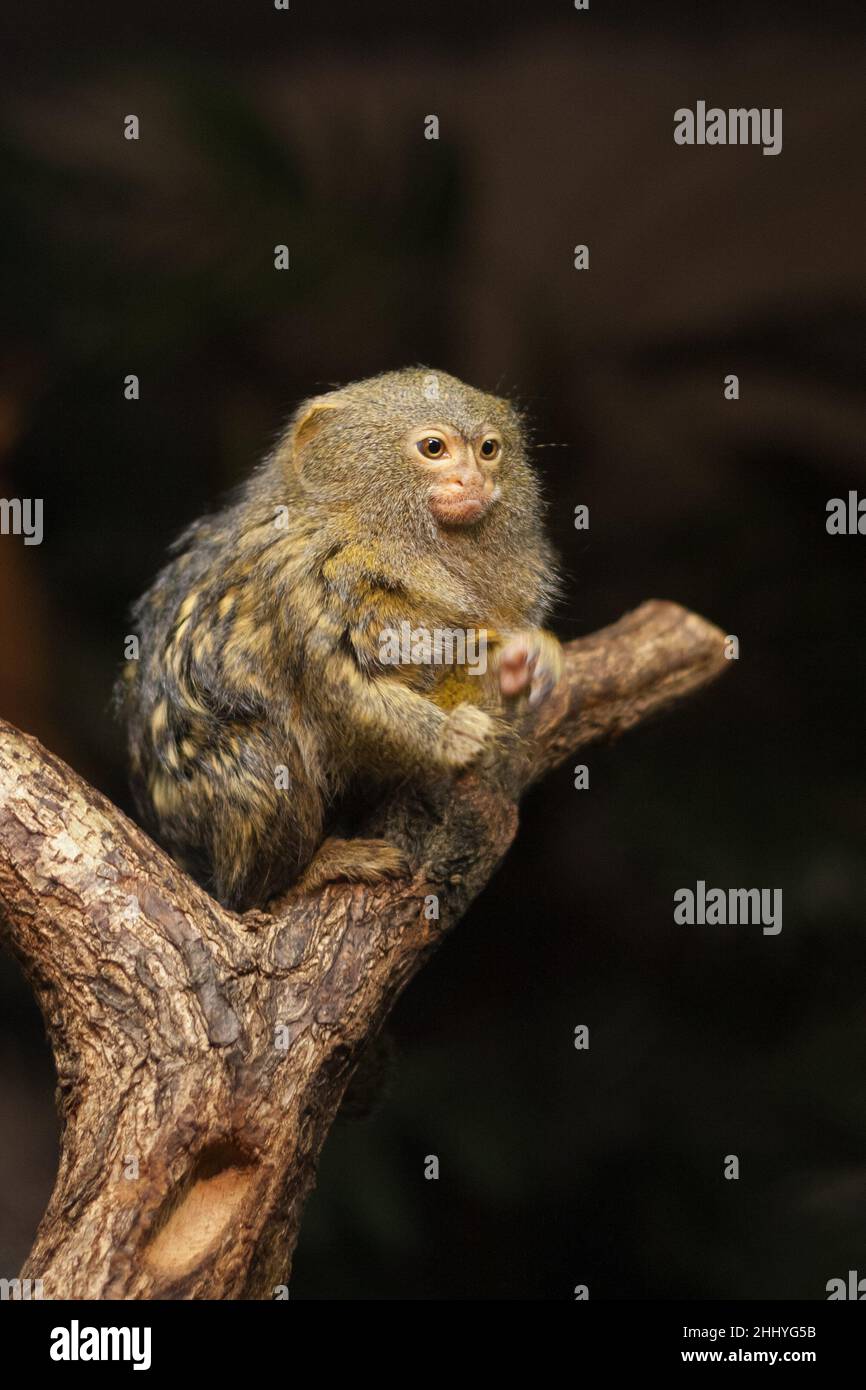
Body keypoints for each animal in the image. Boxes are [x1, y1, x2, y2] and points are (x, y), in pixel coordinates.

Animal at [116, 367, 563, 911]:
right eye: (433, 448)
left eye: (489, 449)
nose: (475, 480)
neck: (371, 532)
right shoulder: (309, 583)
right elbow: (341, 696)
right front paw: (452, 737)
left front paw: (525, 663)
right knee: (264, 772)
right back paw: (295, 877)